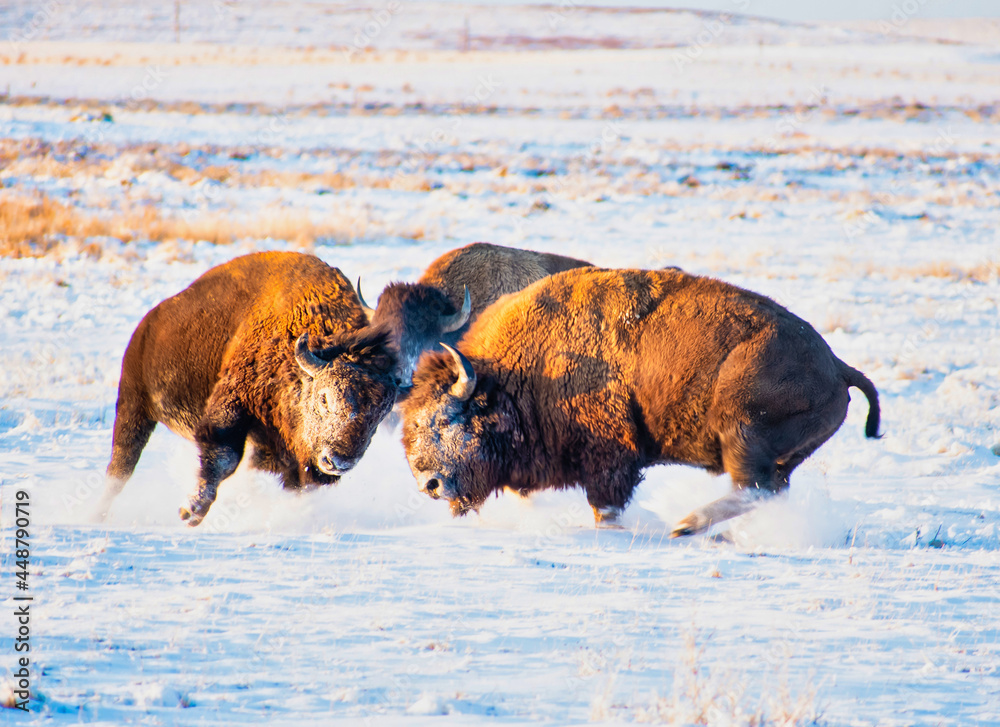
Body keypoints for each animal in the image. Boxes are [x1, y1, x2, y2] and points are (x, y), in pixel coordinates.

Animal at [94, 251, 397, 526]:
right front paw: (191, 512)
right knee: (122, 464)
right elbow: (223, 459)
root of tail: (150, 322)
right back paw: (99, 514)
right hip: (134, 405)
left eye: (380, 416)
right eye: (324, 399)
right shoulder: (231, 409)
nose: (338, 461)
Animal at [401, 267, 881, 536]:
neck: (514, 374)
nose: (429, 484)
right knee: (768, 493)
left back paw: (686, 526)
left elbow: (606, 504)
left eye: (443, 421)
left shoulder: (610, 459)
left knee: (756, 489)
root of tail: (837, 366)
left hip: (742, 432)